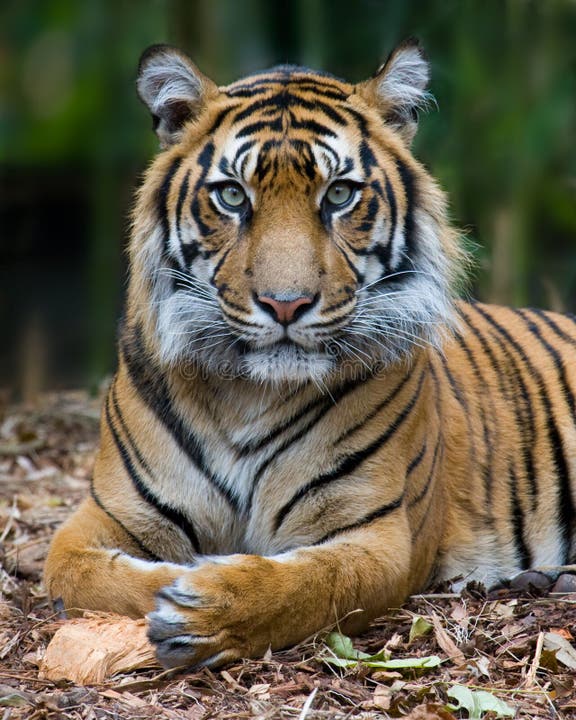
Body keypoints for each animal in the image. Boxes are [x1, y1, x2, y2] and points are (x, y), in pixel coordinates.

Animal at [44, 39, 576, 670]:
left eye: (339, 194)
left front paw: (207, 607)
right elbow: (95, 579)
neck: (247, 395)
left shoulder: (378, 533)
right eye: (232, 196)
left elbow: (308, 584)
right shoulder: (99, 519)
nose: (286, 304)